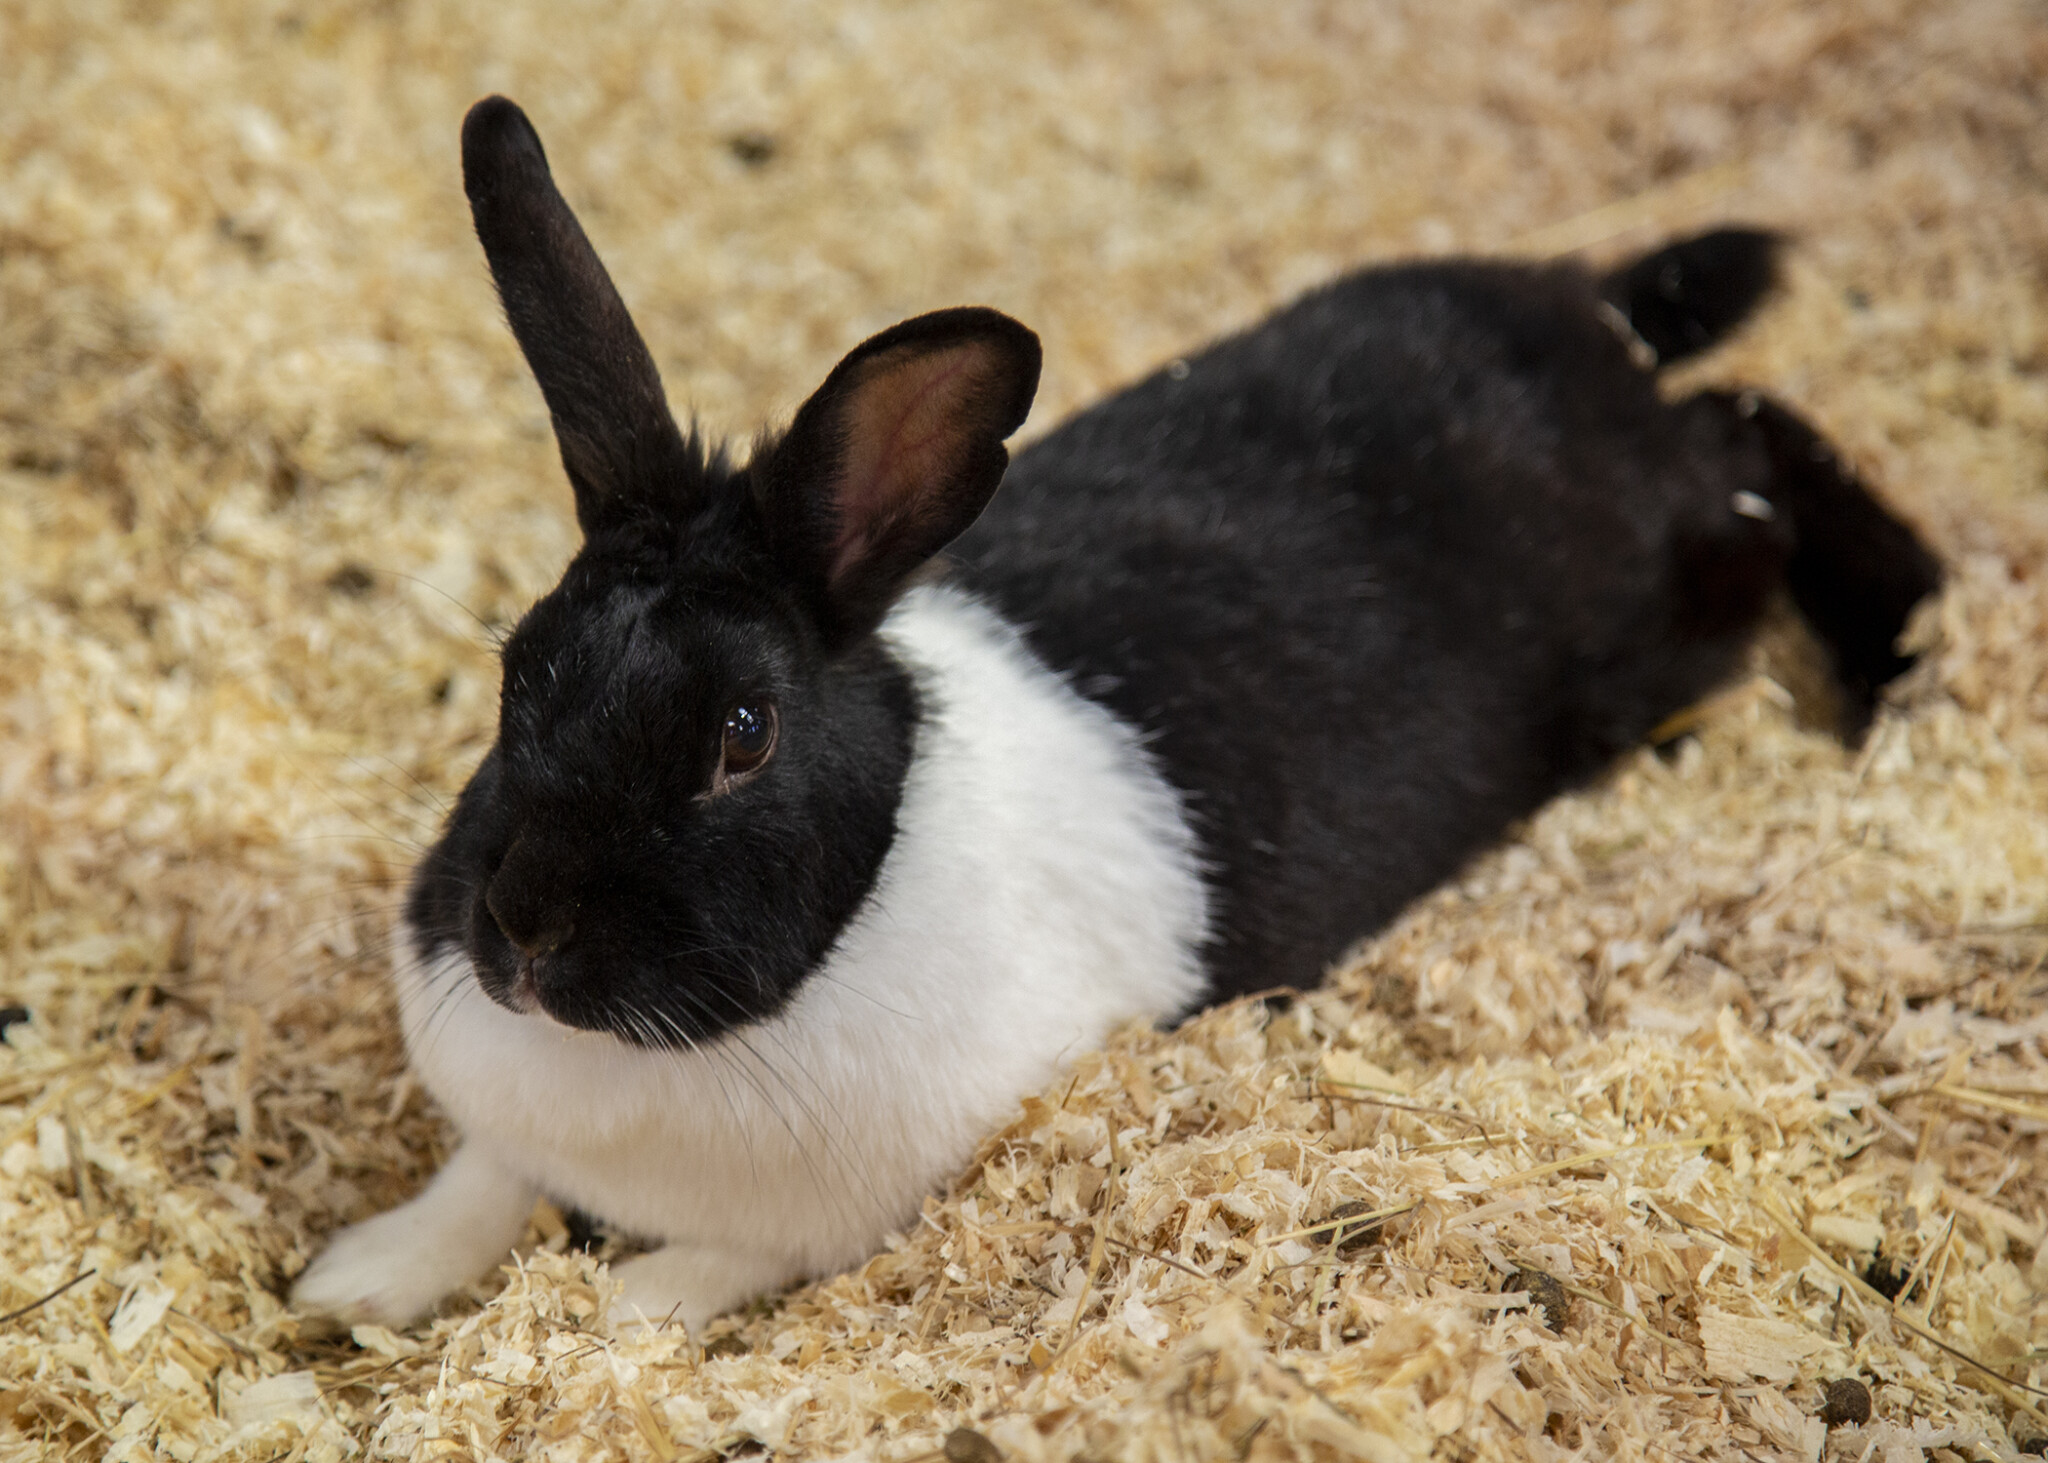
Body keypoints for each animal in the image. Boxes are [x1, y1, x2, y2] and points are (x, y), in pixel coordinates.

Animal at [292, 96, 1940, 1334]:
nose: (521, 937)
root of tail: (1590, 322)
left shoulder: (826, 1217)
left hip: (1685, 588)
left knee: (1755, 442)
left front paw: (598, 1318)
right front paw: (352, 1279)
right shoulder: (504, 1128)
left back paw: (1896, 658)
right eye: (520, 669)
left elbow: (691, 1269)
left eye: (741, 731)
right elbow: (476, 1182)